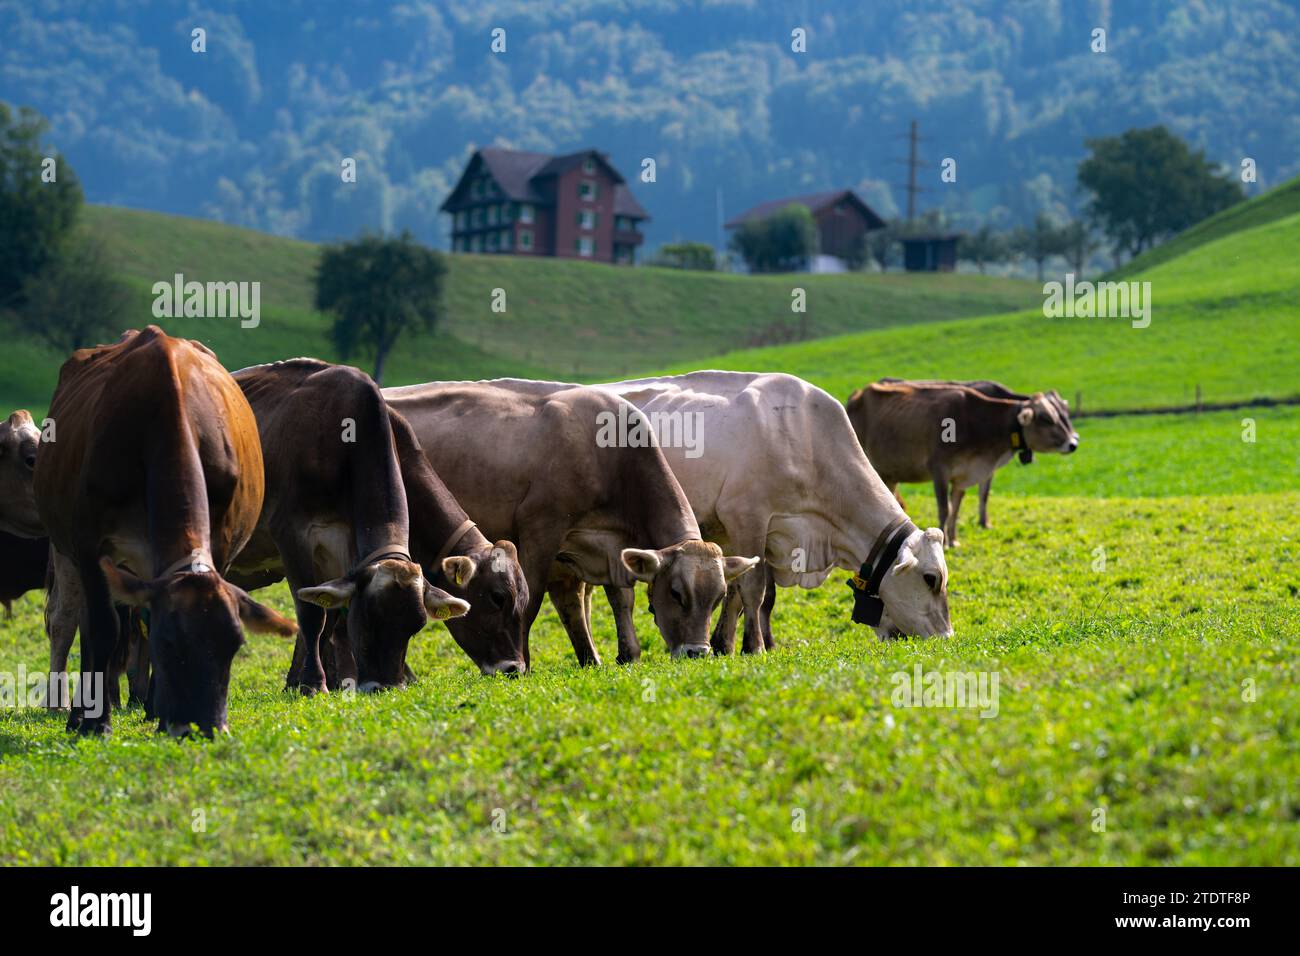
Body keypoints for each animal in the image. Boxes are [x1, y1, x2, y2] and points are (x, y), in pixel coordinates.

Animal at [33, 327, 296, 736]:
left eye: (235, 644)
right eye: (169, 643)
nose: (205, 728)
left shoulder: (219, 546)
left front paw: (158, 712)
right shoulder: (89, 547)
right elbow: (102, 629)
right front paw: (96, 723)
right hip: (68, 551)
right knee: (83, 623)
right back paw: (79, 716)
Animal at [384, 380, 759, 667]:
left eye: (718, 597)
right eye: (677, 593)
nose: (698, 652)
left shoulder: (611, 546)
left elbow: (620, 599)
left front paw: (627, 654)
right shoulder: (540, 529)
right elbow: (531, 601)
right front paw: (526, 662)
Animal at [588, 372, 953, 657]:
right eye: (931, 578)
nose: (946, 636)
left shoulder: (757, 536)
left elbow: (741, 592)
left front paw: (725, 644)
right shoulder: (746, 518)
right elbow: (754, 588)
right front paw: (755, 647)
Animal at [846, 379, 1078, 547]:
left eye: (1062, 414)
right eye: (1047, 419)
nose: (1073, 443)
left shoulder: (965, 474)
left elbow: (958, 507)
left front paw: (954, 539)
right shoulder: (939, 469)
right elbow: (945, 508)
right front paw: (943, 543)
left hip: (889, 472)